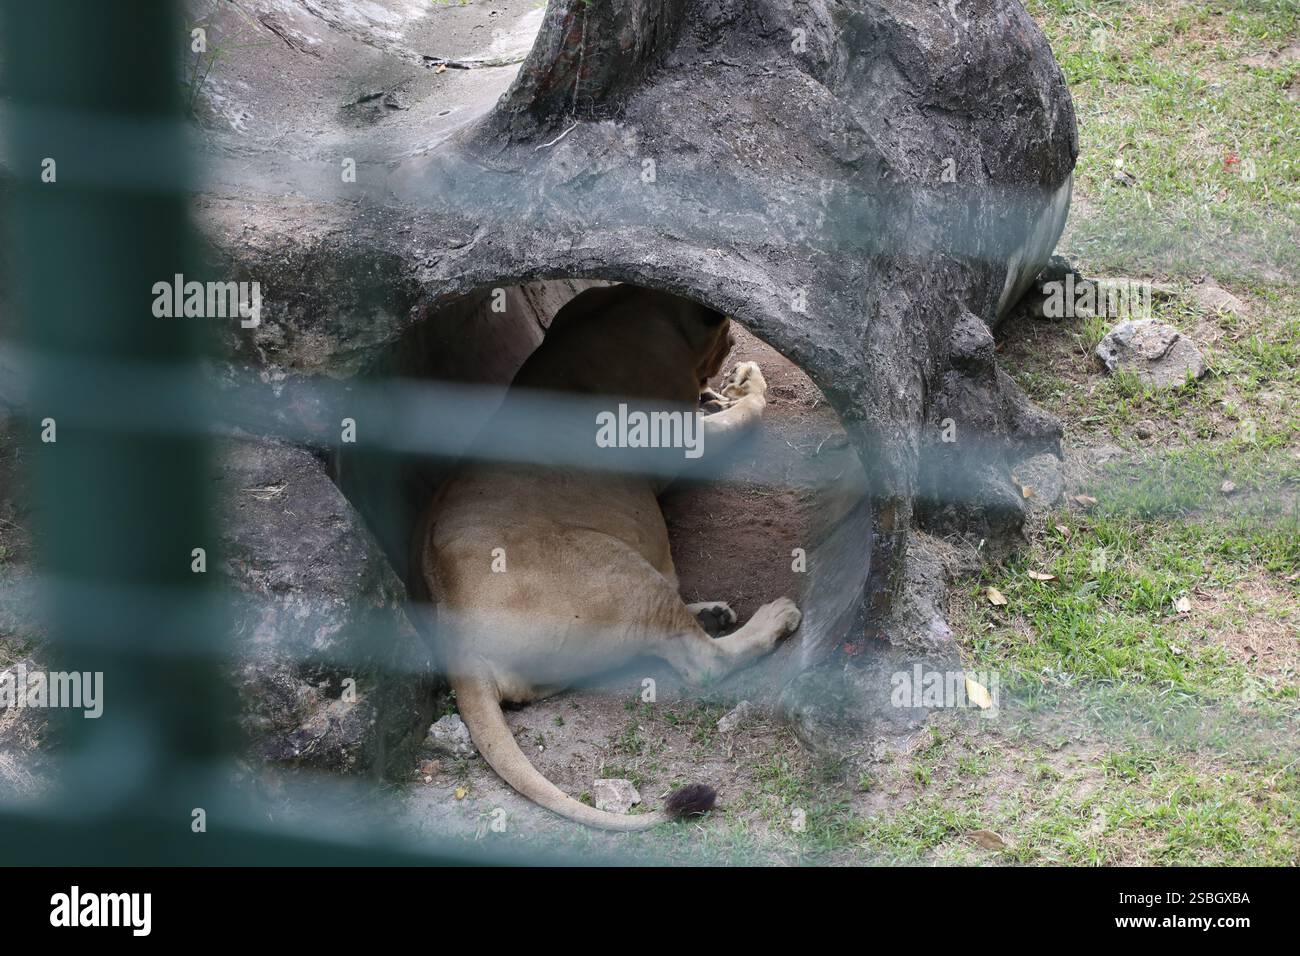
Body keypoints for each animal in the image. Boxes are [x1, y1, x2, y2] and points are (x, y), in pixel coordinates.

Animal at [413, 284, 801, 830]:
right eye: (725, 331)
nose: (729, 350)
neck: (636, 307)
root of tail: (458, 644)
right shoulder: (680, 439)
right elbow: (744, 414)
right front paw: (749, 385)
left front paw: (730, 386)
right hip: (615, 566)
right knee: (702, 659)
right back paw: (773, 618)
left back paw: (714, 613)